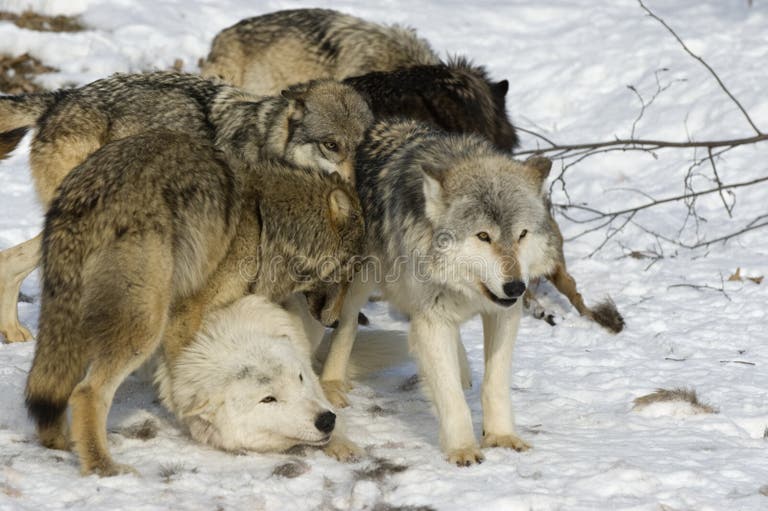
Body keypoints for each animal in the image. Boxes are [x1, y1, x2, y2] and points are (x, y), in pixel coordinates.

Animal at [0, 71, 372, 342]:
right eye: (331, 145)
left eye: (362, 147)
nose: (356, 194)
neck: (269, 146)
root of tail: (61, 96)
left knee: (12, 259)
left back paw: (13, 331)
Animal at [24, 132, 365, 476]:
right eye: (350, 270)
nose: (336, 321)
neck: (265, 224)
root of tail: (83, 196)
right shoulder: (186, 313)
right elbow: (186, 371)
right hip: (146, 325)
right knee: (86, 392)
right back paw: (102, 466)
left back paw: (60, 441)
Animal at [318, 119, 559, 466]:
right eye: (483, 236)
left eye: (522, 234)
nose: (516, 287)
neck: (465, 288)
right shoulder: (431, 320)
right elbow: (450, 396)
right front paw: (462, 449)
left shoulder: (503, 313)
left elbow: (495, 384)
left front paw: (501, 436)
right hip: (363, 276)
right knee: (347, 323)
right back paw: (332, 383)